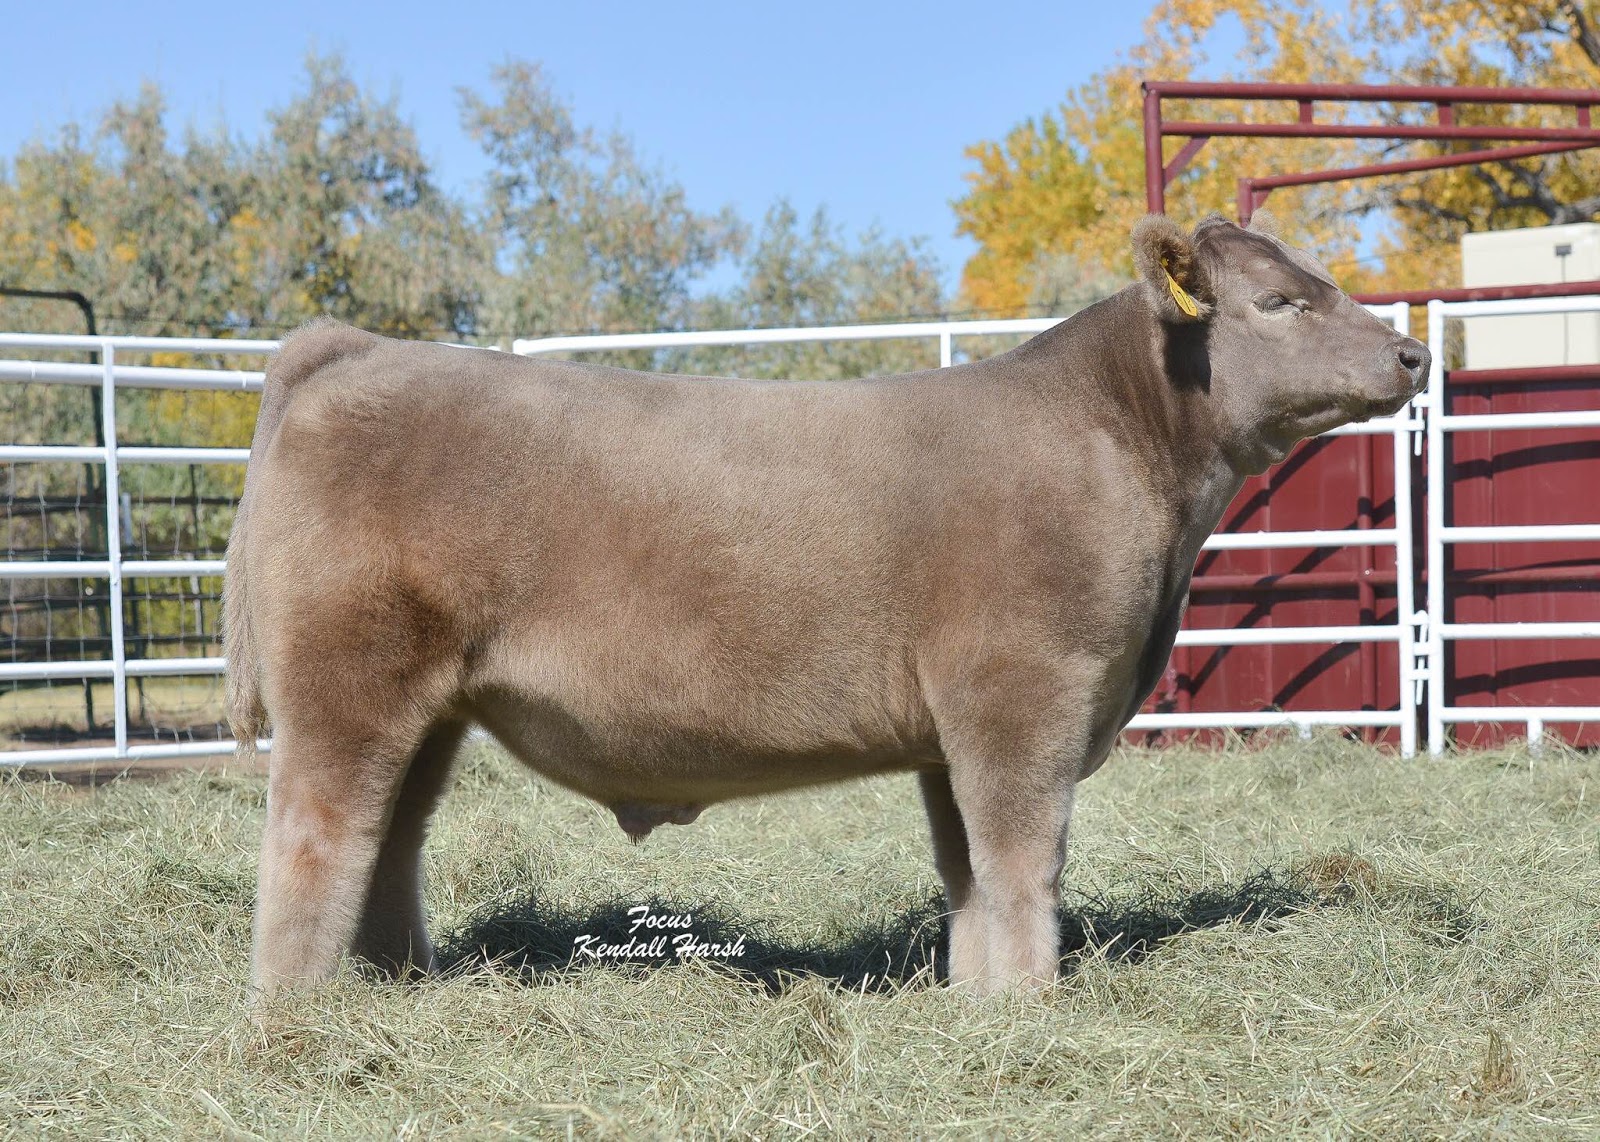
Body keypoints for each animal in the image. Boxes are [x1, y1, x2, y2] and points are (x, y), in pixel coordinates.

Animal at [224, 213, 1429, 998]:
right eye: (1279, 301)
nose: (1415, 350)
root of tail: (354, 352)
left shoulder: (957, 726)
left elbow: (968, 873)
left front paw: (977, 1001)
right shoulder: (1023, 693)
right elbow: (1022, 860)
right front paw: (1034, 1009)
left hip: (434, 700)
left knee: (391, 837)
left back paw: (392, 989)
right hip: (347, 679)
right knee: (317, 836)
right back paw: (296, 1019)